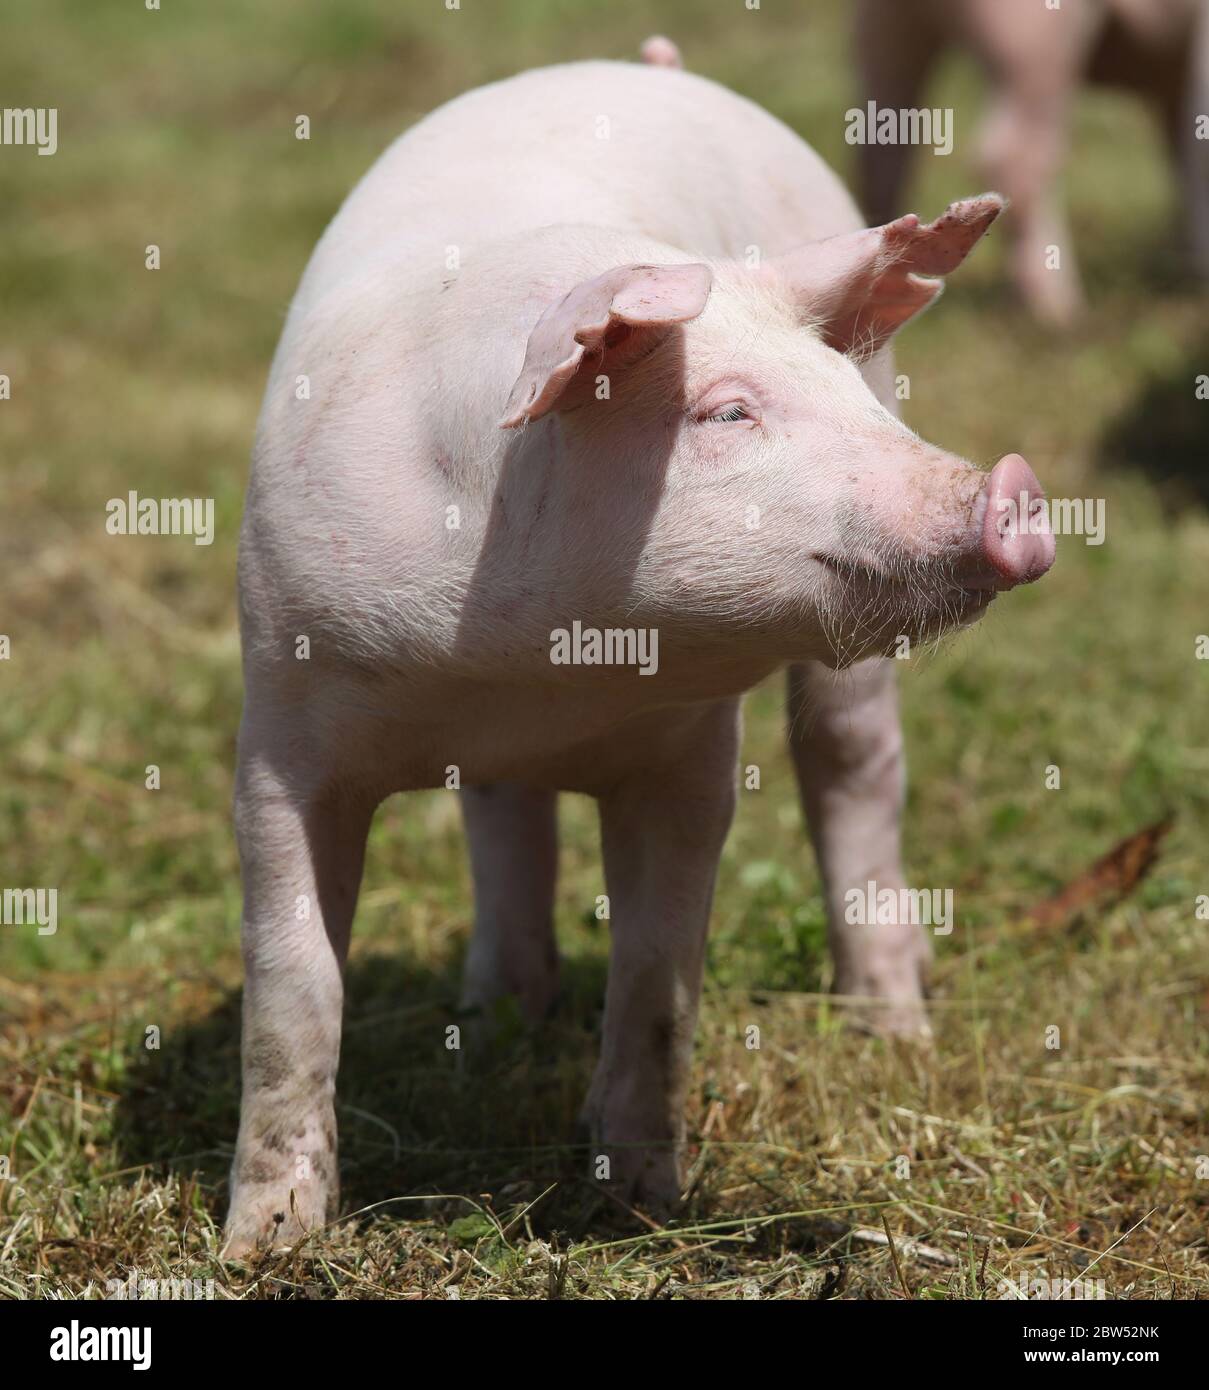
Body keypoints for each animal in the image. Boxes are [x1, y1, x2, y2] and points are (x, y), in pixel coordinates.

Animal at [222, 46, 1054, 1257]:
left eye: (846, 392)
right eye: (723, 413)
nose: (1013, 489)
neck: (531, 668)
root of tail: (646, 65)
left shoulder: (688, 756)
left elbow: (661, 981)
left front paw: (638, 1204)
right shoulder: (282, 720)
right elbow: (294, 991)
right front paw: (263, 1244)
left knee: (852, 772)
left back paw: (895, 1033)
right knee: (506, 817)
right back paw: (499, 1014)